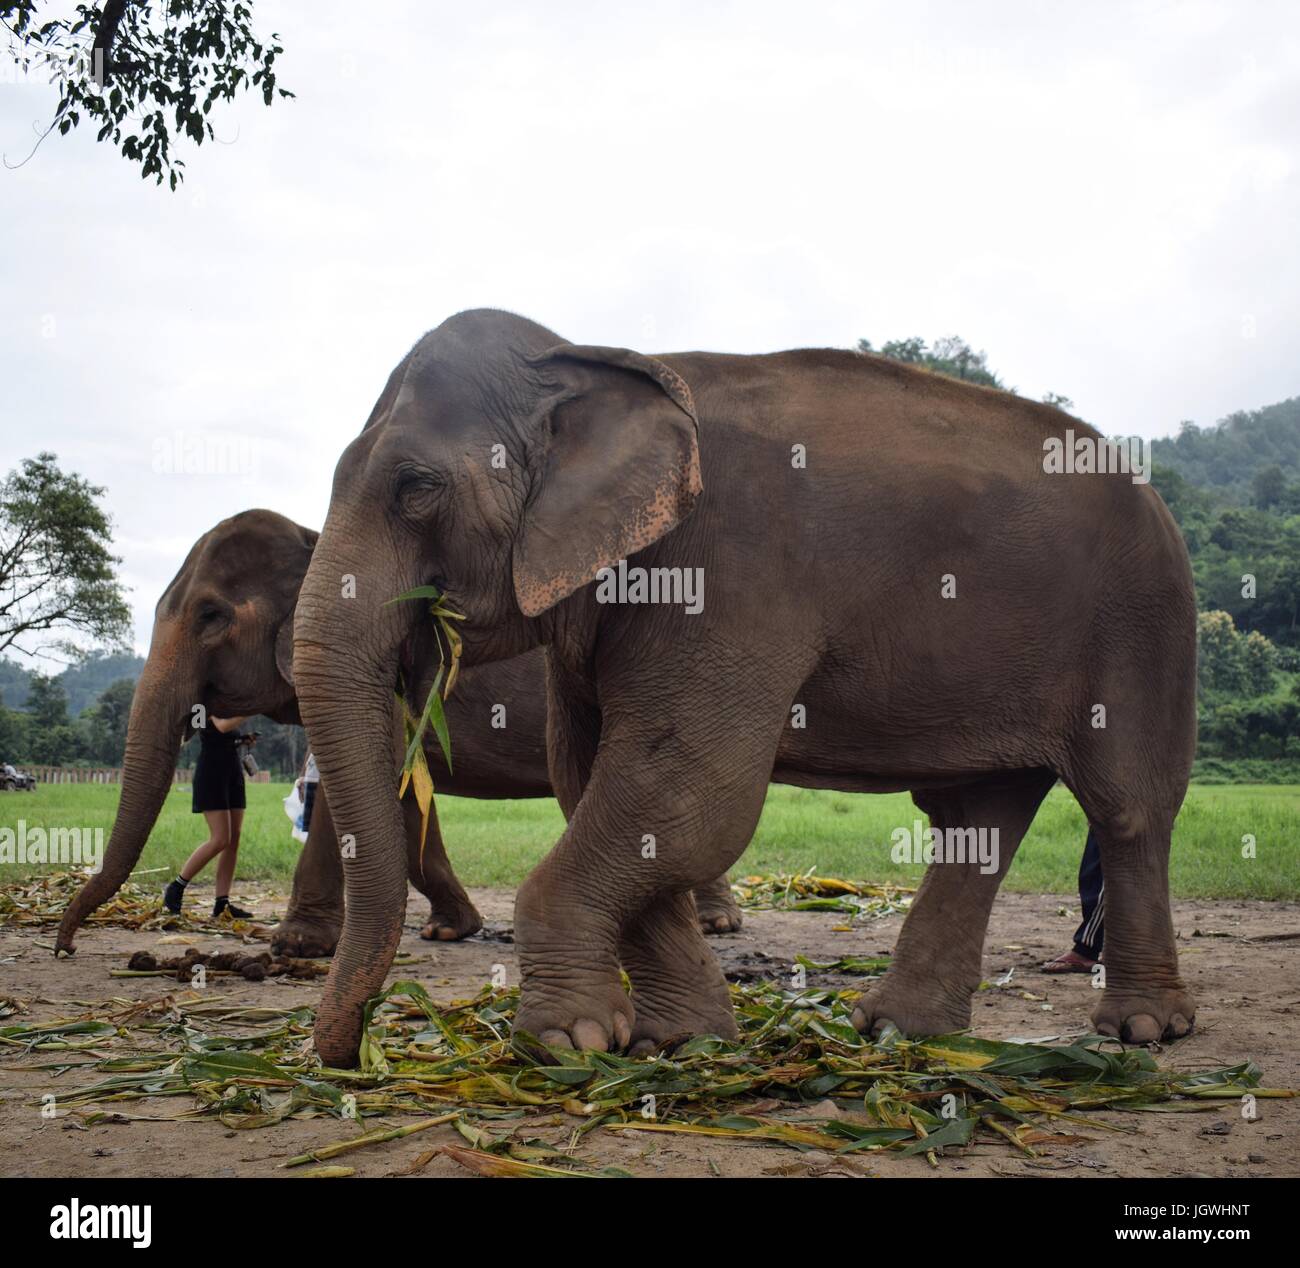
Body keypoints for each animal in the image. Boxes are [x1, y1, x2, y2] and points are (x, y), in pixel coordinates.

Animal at [53, 510, 742, 959]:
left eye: (210, 615)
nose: (66, 948)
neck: (318, 537)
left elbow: (355, 791)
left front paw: (294, 944)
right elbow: (407, 798)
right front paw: (449, 930)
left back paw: (714, 925)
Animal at [292, 308, 1198, 1068]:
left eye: (415, 487)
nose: (343, 1054)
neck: (591, 356)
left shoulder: (728, 575)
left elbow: (693, 791)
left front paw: (567, 1042)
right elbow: (599, 782)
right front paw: (675, 1041)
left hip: (1144, 625)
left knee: (1127, 808)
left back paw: (1142, 1029)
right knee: (977, 819)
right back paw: (899, 1030)